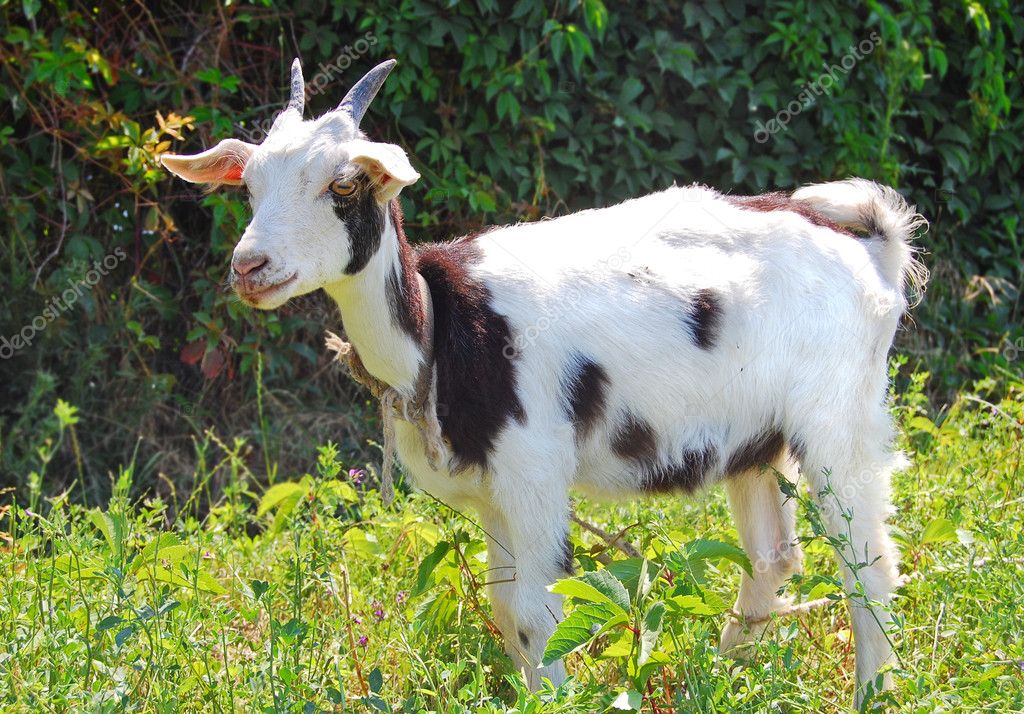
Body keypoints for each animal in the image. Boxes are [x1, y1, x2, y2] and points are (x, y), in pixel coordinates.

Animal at [162, 59, 926, 705]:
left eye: (344, 184)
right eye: (249, 186)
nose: (251, 267)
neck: (440, 327)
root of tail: (871, 242)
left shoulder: (534, 471)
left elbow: (540, 608)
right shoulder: (491, 493)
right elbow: (509, 610)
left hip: (840, 422)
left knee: (868, 566)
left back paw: (872, 692)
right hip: (755, 441)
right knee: (772, 559)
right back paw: (720, 674)